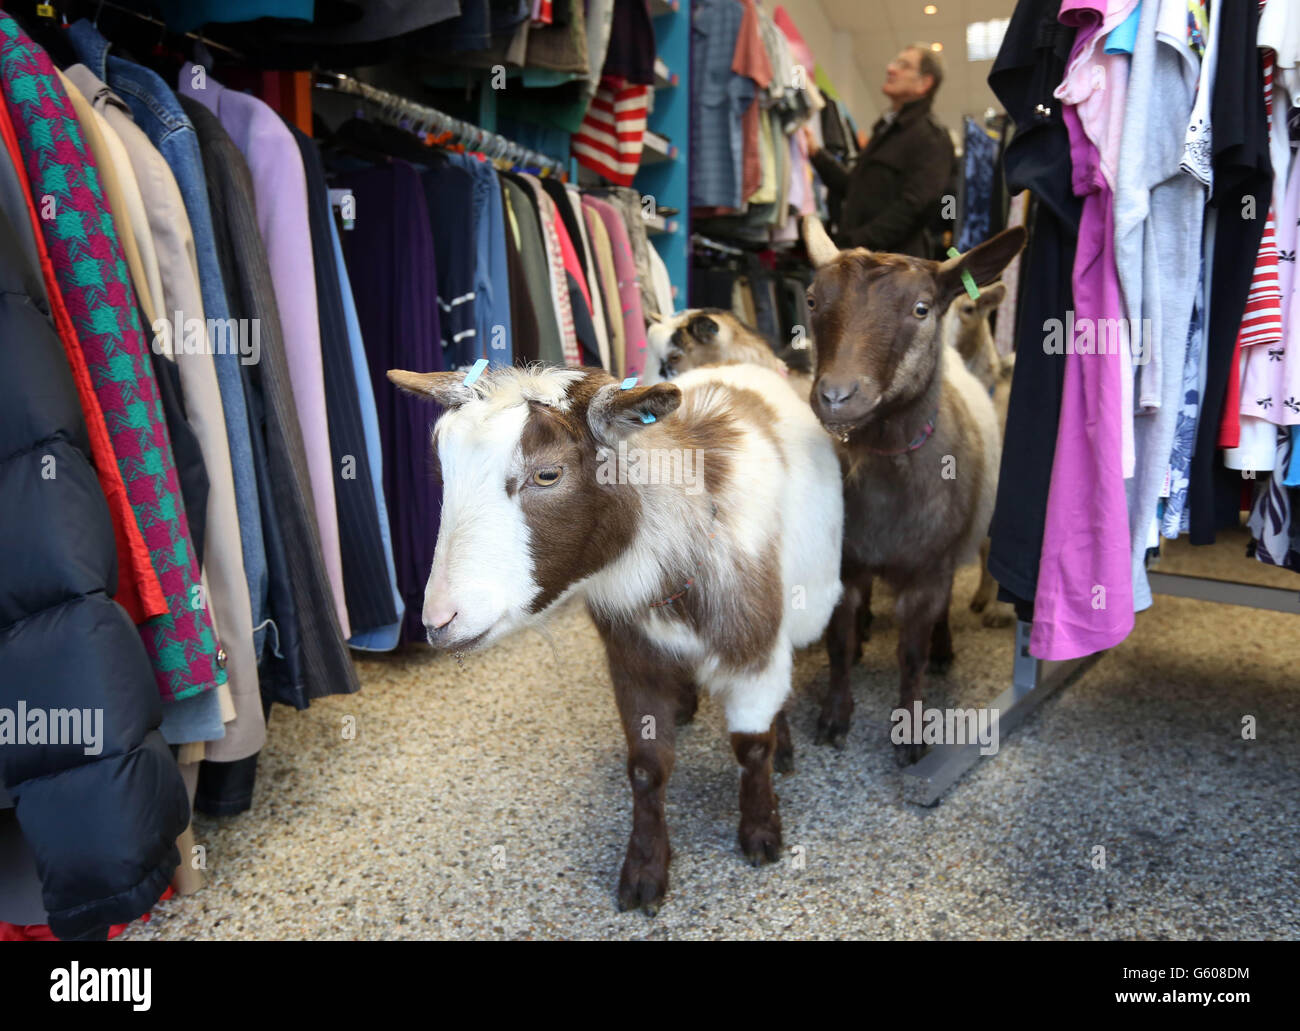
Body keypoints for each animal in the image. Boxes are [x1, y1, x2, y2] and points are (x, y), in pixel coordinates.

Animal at [387, 362, 843, 913]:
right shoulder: (631, 660)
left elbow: (752, 749)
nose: (440, 620)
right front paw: (645, 869)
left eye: (548, 473)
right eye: (441, 474)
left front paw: (760, 829)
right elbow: (647, 769)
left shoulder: (752, 651)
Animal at [800, 215, 1025, 763]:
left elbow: (911, 654)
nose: (836, 396)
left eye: (922, 309)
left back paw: (945, 648)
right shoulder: (845, 565)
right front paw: (835, 717)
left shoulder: (928, 570)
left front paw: (913, 733)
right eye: (813, 299)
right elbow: (838, 644)